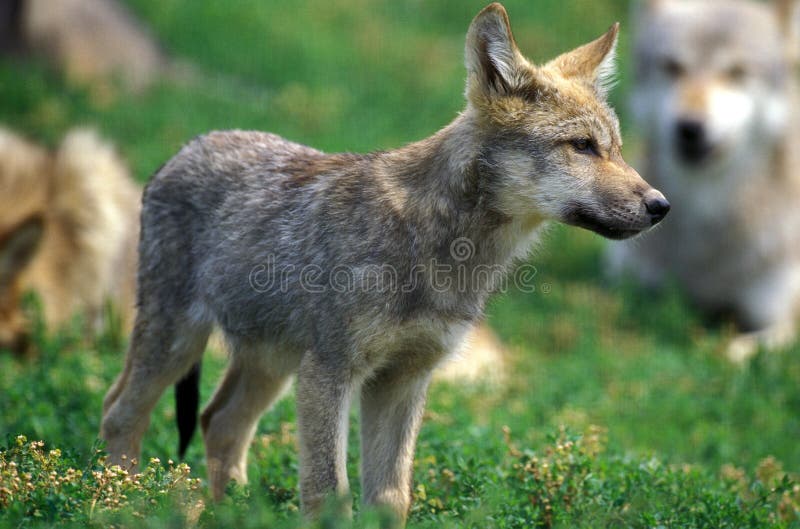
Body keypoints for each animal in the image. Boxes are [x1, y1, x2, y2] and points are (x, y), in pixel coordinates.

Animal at [100, 3, 668, 523]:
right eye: (582, 146)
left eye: (617, 150)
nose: (661, 205)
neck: (443, 253)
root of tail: (186, 147)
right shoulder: (332, 372)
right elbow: (329, 495)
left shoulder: (403, 381)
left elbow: (391, 498)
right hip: (178, 344)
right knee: (118, 412)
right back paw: (120, 505)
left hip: (271, 364)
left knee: (218, 421)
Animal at [607, 0, 800, 360]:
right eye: (673, 66)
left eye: (736, 72)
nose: (689, 127)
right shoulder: (627, 282)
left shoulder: (782, 320)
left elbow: (734, 351)